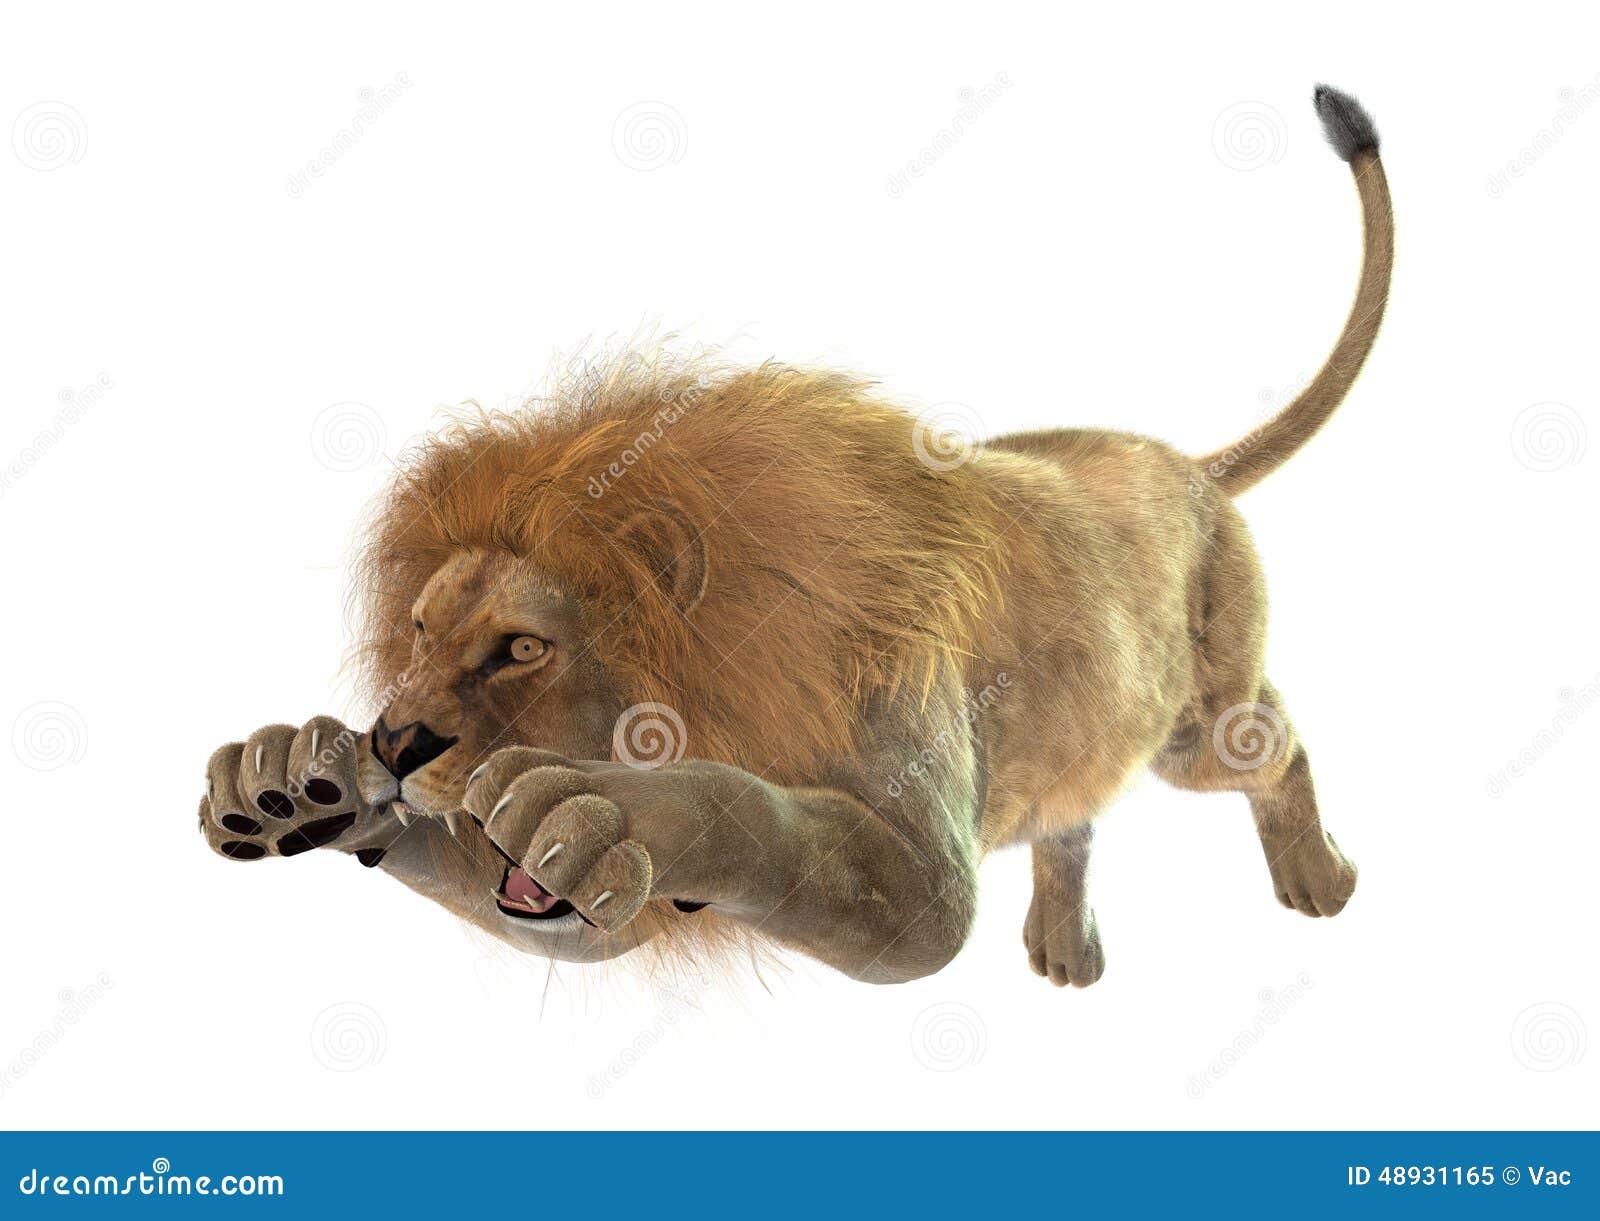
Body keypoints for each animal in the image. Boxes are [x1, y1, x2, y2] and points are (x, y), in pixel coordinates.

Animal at [198, 86, 1390, 986]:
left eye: (524, 648)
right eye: (418, 630)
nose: (395, 740)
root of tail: (1185, 464)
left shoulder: (915, 872)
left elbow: (742, 806)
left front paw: (600, 806)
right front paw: (296, 782)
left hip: (1199, 726)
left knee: (1276, 744)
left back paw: (1320, 882)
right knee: (1073, 812)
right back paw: (1063, 948)